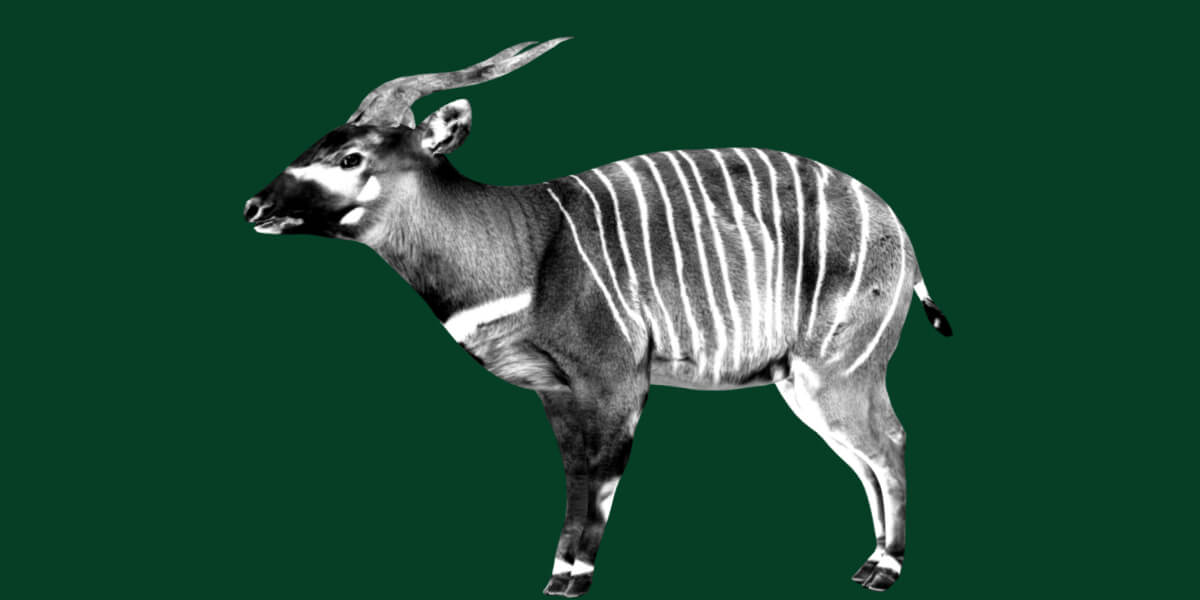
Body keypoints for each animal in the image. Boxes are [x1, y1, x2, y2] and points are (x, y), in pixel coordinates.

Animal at [243, 38, 952, 597]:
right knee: (864, 454)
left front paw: (571, 579)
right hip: (802, 383)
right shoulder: (559, 393)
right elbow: (575, 473)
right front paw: (560, 571)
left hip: (839, 369)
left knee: (889, 441)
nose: (255, 207)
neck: (527, 249)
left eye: (351, 157)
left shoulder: (614, 381)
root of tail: (903, 238)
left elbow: (600, 477)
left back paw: (886, 569)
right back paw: (868, 563)